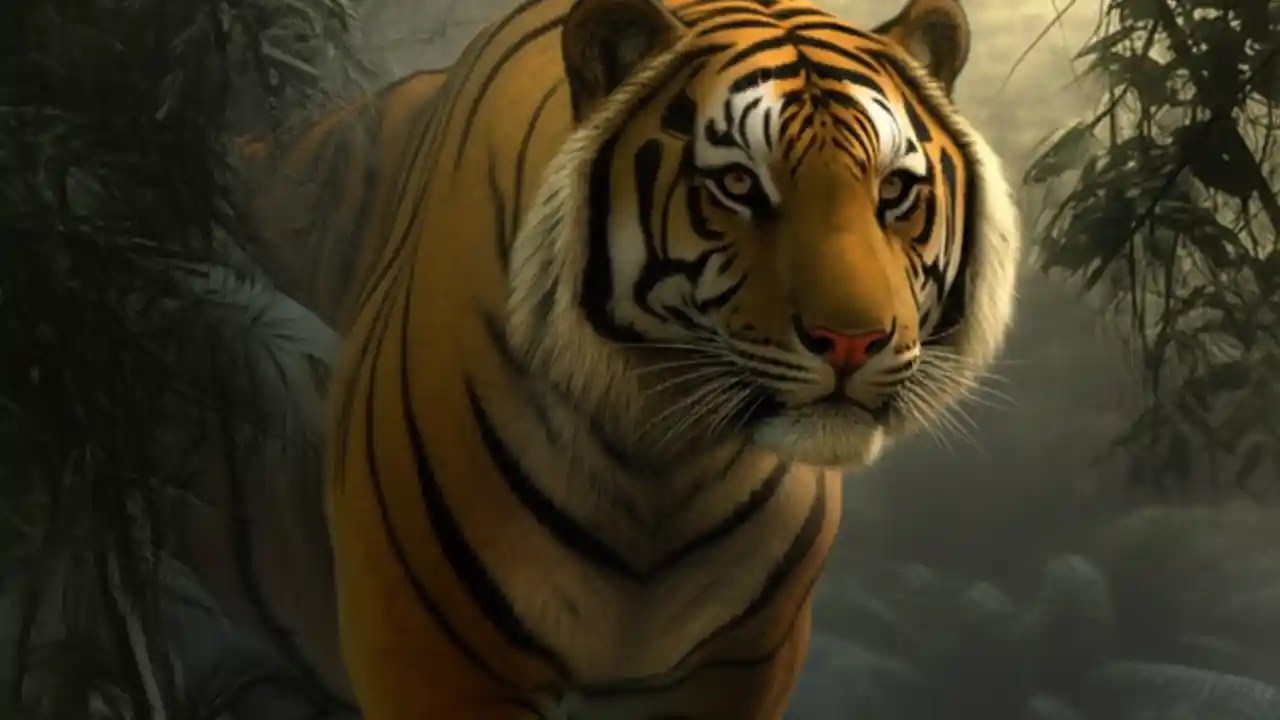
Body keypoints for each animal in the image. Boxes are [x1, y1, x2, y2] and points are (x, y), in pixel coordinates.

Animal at [242, 0, 1022, 717]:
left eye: (894, 191)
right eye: (739, 184)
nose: (853, 341)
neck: (661, 463)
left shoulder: (744, 659)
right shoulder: (429, 647)